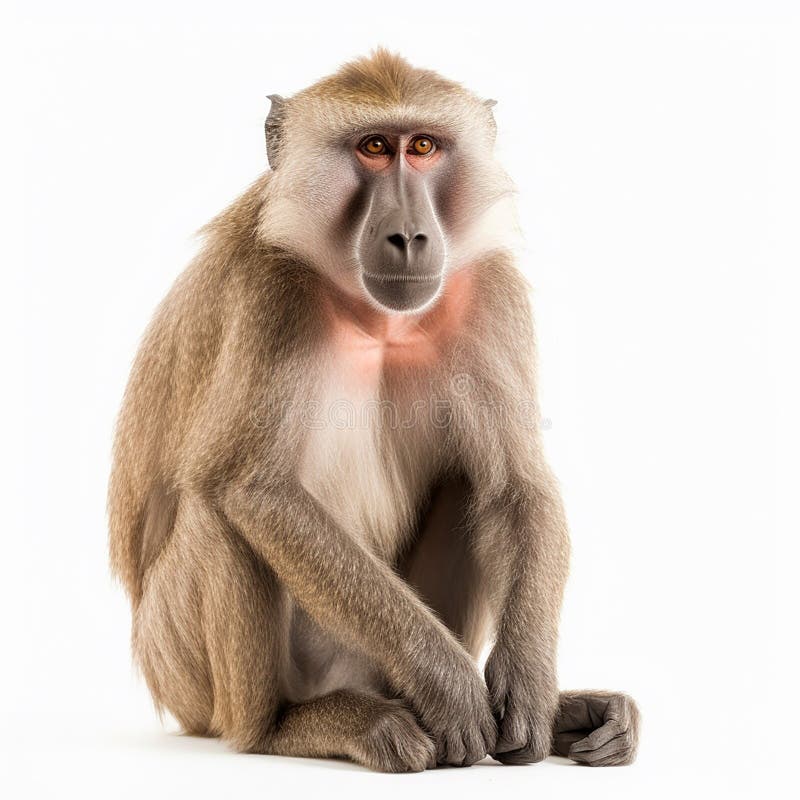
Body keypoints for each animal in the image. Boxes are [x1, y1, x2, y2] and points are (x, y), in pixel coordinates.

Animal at [109, 50, 639, 773]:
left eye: (422, 147)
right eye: (373, 148)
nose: (410, 236)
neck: (374, 317)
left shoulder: (490, 293)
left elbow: (515, 486)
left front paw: (529, 689)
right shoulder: (267, 291)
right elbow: (254, 489)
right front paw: (448, 682)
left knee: (469, 481)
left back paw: (571, 715)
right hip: (184, 672)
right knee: (216, 507)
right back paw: (290, 726)